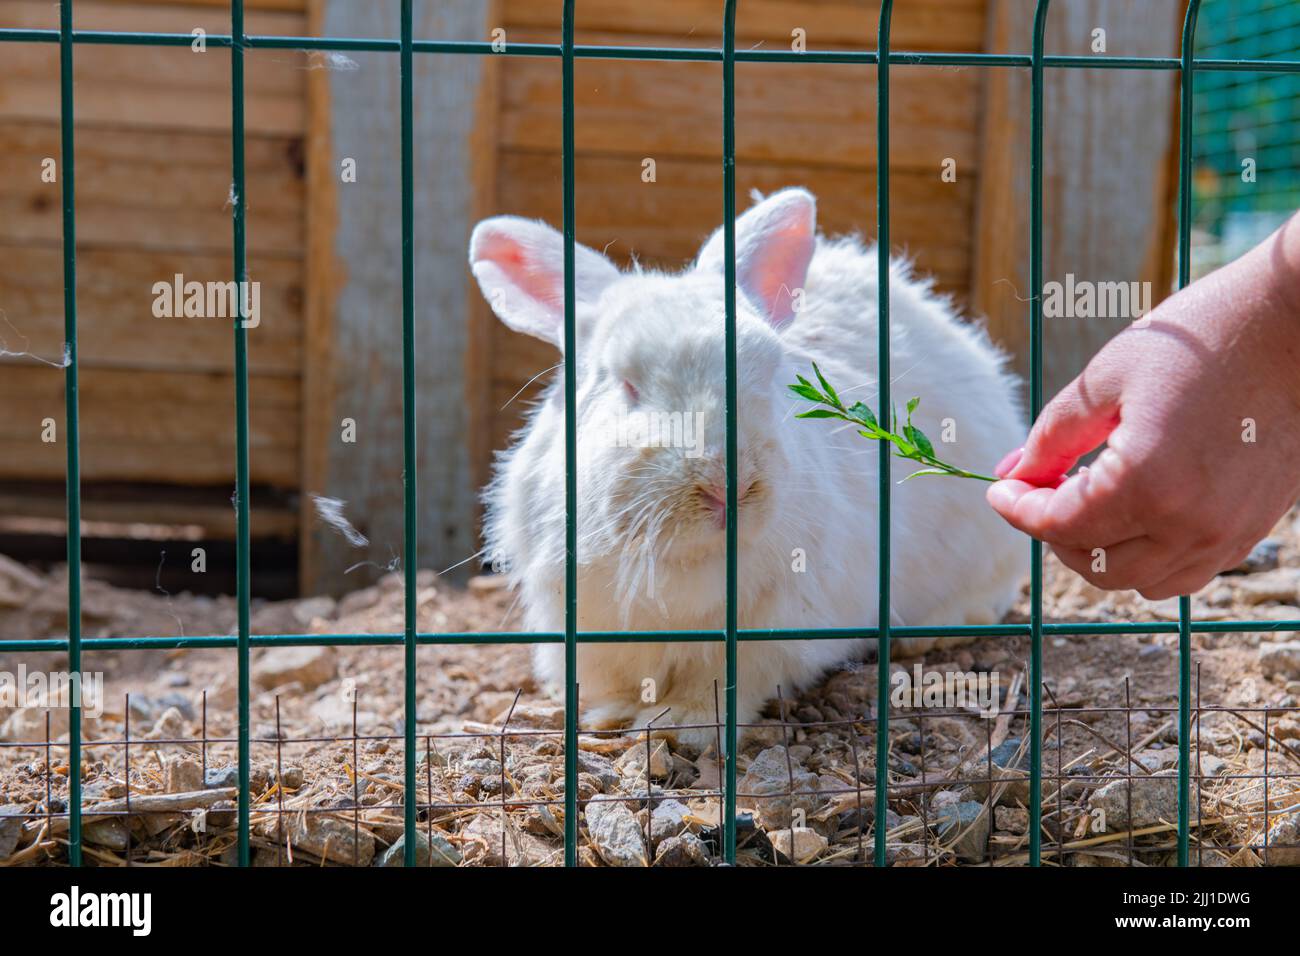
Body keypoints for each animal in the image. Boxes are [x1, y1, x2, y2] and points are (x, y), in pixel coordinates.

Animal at [469, 187, 1026, 752]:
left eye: (769, 369)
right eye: (626, 384)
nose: (726, 484)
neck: (690, 562)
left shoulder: (771, 632)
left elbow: (723, 684)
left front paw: (681, 726)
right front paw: (611, 717)